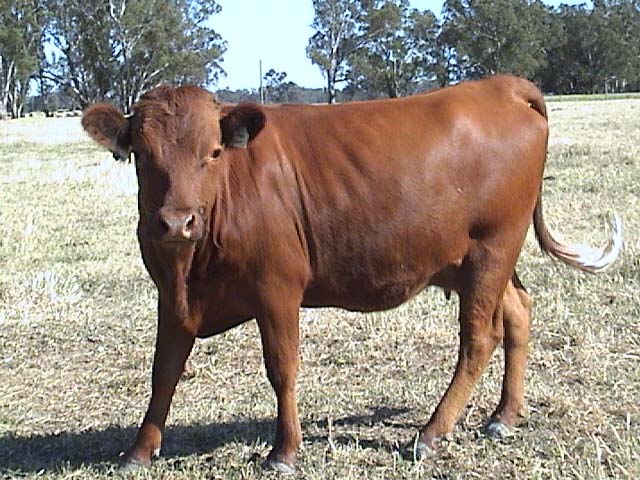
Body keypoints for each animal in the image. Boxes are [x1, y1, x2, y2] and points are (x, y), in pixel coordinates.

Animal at [81, 75, 622, 473]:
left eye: (213, 152)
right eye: (142, 155)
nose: (177, 222)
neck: (191, 266)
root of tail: (499, 86)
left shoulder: (276, 290)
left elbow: (282, 368)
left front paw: (284, 451)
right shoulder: (171, 300)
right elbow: (163, 372)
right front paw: (139, 451)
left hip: (493, 247)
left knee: (478, 337)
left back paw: (432, 433)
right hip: (480, 261)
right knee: (517, 312)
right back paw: (504, 416)